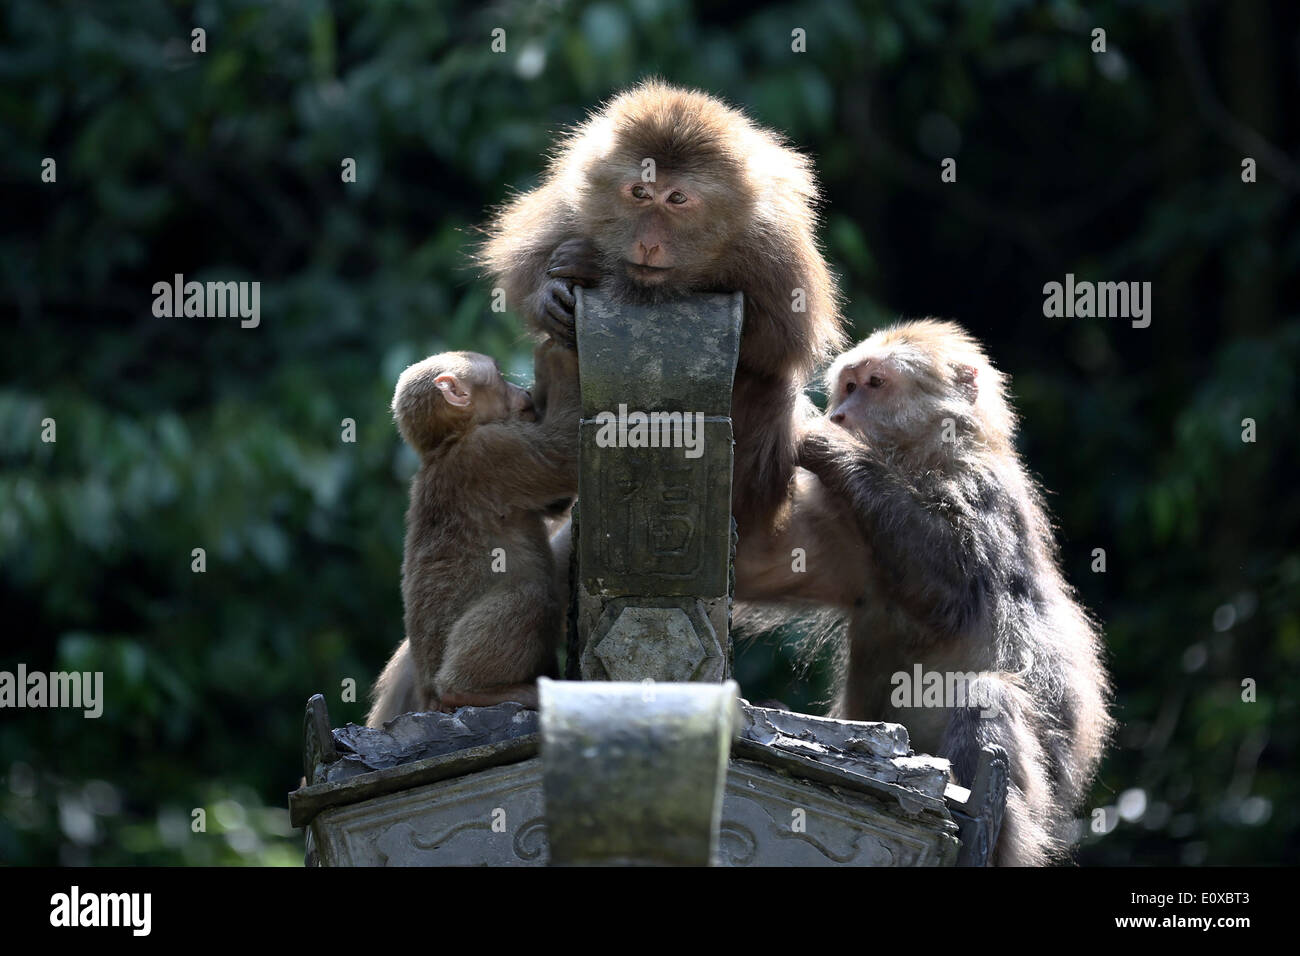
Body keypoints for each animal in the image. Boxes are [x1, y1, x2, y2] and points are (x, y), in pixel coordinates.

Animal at [364, 341, 581, 728]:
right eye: (499, 379)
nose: (523, 392)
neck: (449, 444)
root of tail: (428, 698)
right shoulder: (490, 452)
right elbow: (564, 454)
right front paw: (554, 359)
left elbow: (555, 501)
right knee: (532, 596)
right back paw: (468, 690)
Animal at [478, 79, 846, 541]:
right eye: (640, 192)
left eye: (676, 198)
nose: (648, 244)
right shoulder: (571, 205)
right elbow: (519, 269)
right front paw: (551, 294)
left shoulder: (774, 248)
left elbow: (783, 344)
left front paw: (595, 267)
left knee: (771, 389)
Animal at [794, 319, 1113, 866]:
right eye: (849, 386)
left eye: (874, 384)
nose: (839, 414)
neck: (928, 459)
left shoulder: (983, 490)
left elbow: (949, 590)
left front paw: (828, 445)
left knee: (987, 695)